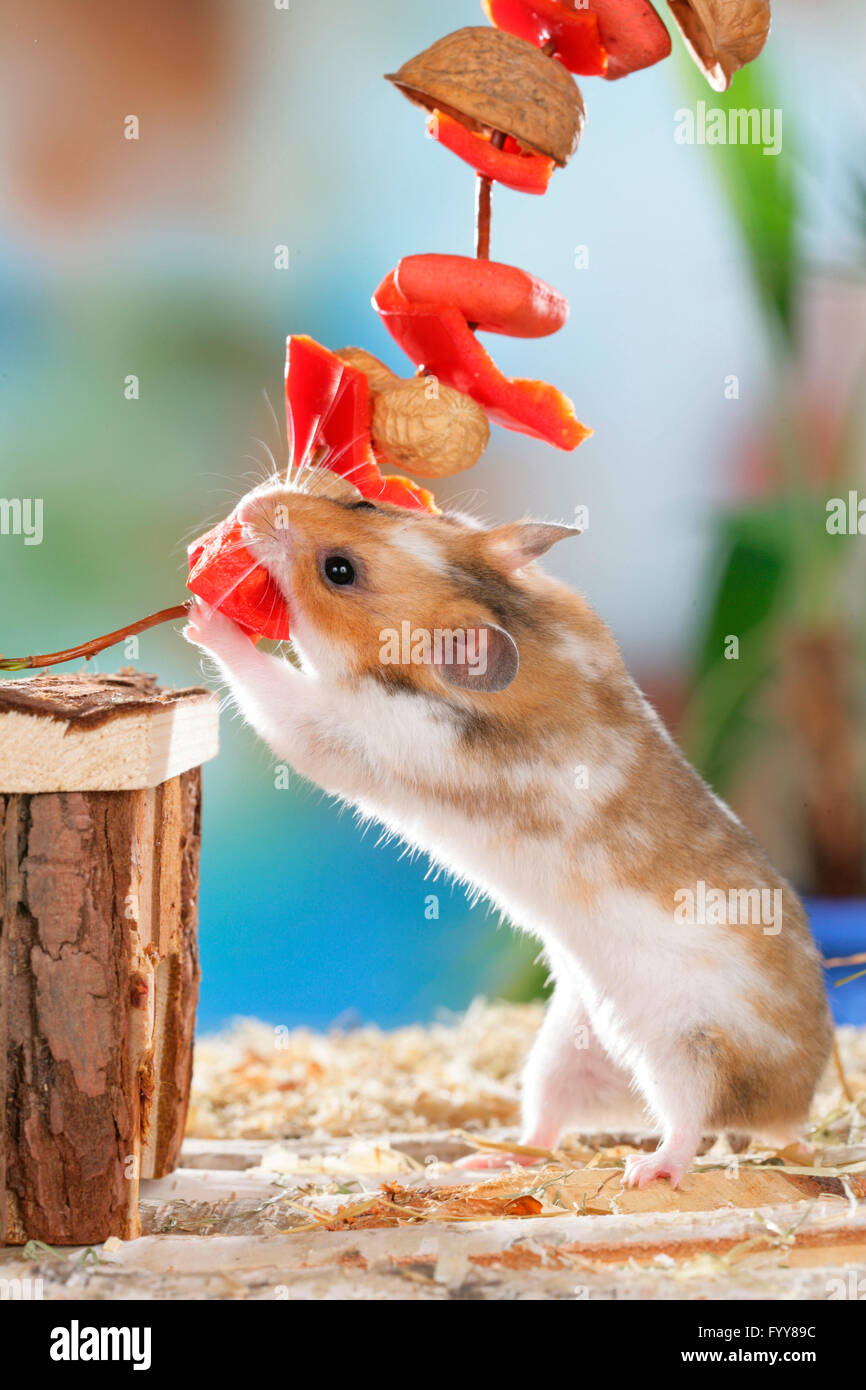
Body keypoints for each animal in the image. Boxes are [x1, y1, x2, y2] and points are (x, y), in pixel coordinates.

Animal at [185, 467, 833, 1187]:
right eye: (363, 500)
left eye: (339, 571)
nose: (253, 505)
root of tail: (794, 1110)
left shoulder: (359, 734)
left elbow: (279, 698)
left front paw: (204, 618)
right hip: (564, 1049)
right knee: (546, 1125)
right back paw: (486, 1161)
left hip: (691, 1048)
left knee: (691, 1120)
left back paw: (649, 1169)